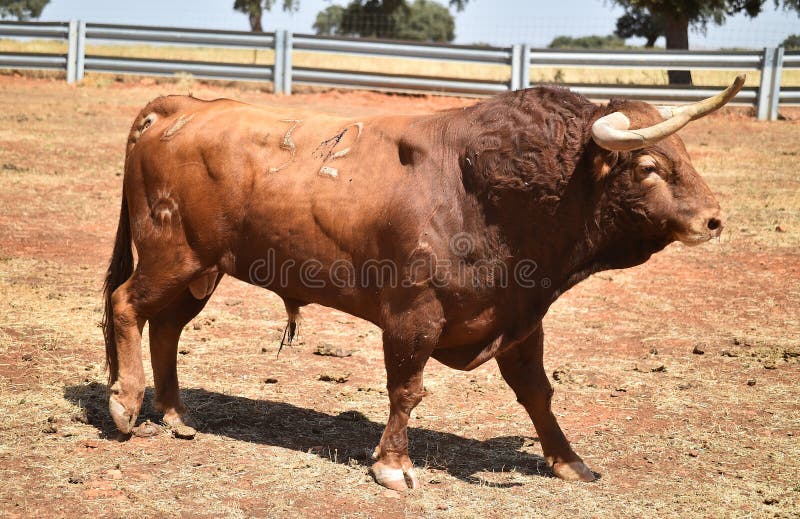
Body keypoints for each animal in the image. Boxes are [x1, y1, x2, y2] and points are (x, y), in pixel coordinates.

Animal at [103, 75, 744, 490]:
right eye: (649, 166)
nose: (714, 220)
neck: (482, 190)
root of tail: (180, 106)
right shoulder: (413, 315)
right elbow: (406, 390)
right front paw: (394, 465)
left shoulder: (518, 318)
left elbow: (538, 393)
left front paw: (569, 462)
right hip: (170, 255)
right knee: (126, 305)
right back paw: (126, 402)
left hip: (202, 271)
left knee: (167, 330)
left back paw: (176, 414)